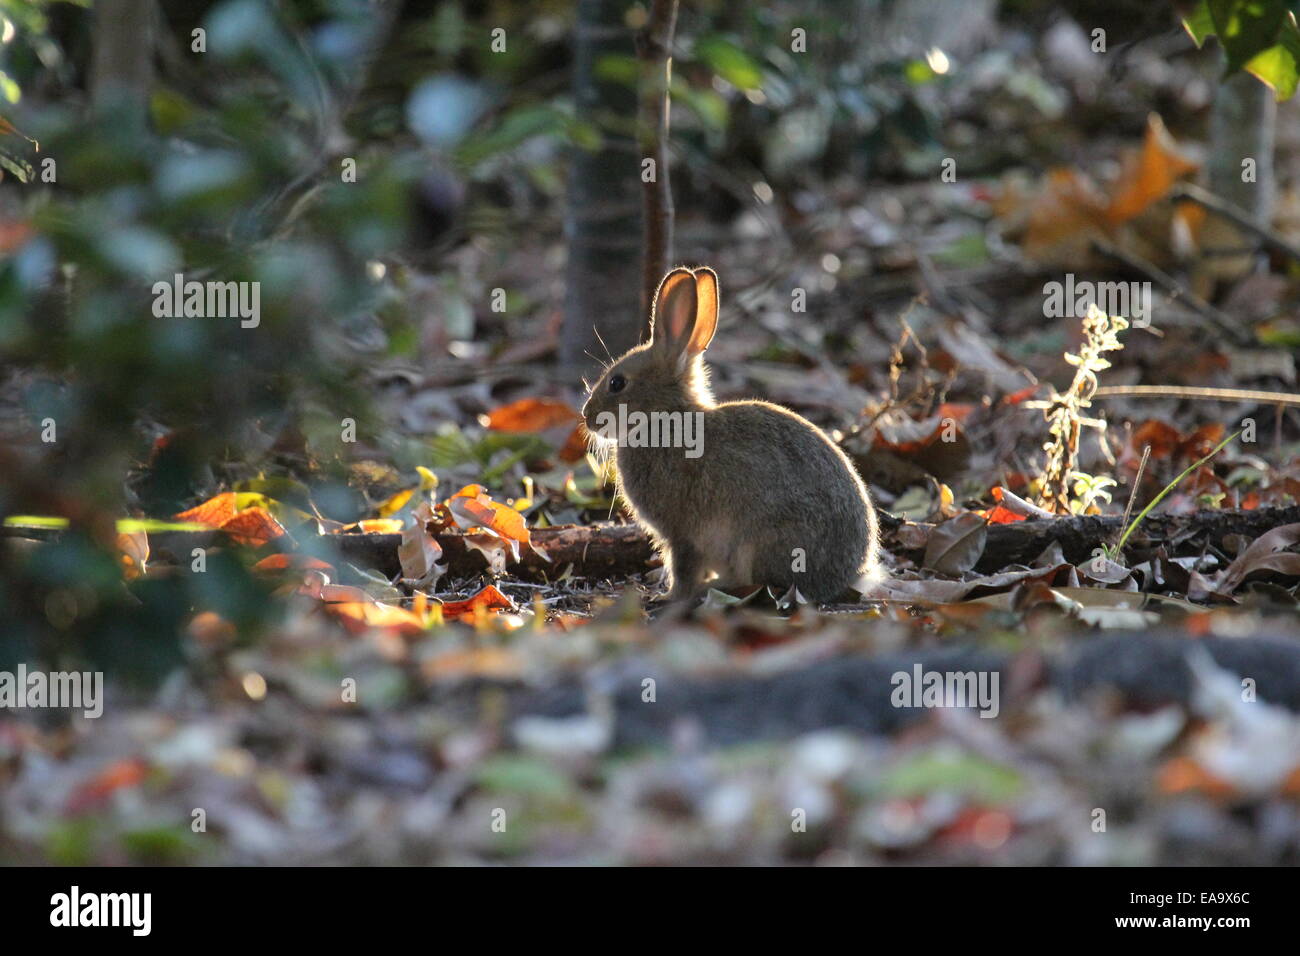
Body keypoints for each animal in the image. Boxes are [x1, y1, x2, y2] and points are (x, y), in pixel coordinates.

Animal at [582, 266, 879, 604]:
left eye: (617, 383)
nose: (587, 416)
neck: (665, 417)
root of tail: (850, 576)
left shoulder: (682, 534)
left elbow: (684, 568)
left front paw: (669, 597)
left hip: (759, 543)